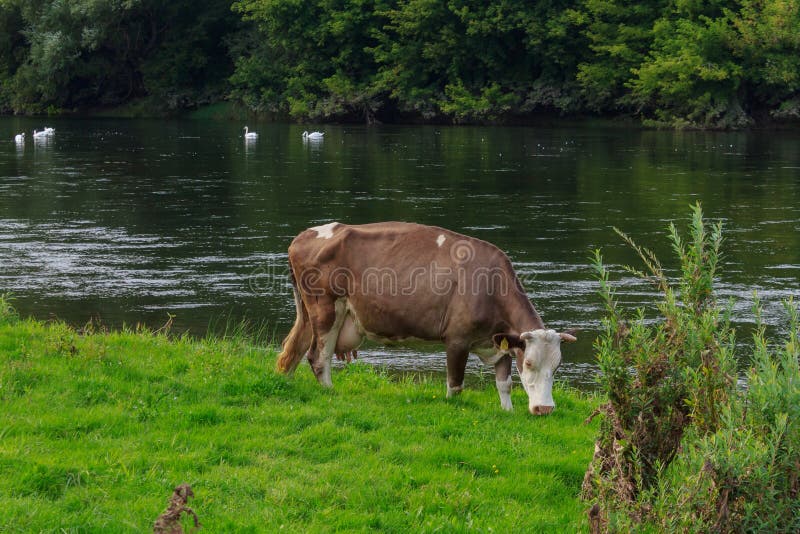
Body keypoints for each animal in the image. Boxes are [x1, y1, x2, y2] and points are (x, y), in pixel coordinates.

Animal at [276, 222, 576, 415]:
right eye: (529, 362)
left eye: (558, 366)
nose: (545, 408)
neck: (490, 285)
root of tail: (304, 235)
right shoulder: (457, 339)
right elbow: (455, 384)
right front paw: (454, 408)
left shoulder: (498, 340)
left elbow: (504, 383)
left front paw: (508, 412)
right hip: (326, 308)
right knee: (318, 356)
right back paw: (330, 392)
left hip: (311, 313)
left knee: (295, 350)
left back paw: (286, 384)